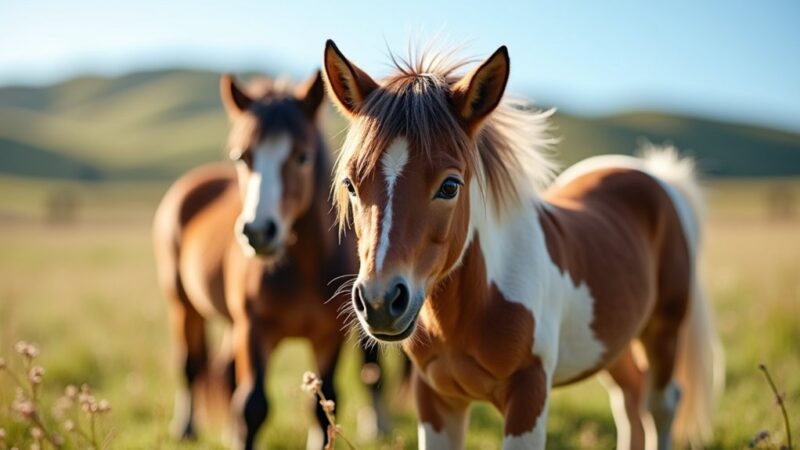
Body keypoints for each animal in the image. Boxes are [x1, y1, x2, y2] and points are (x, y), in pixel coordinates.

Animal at [152, 71, 392, 449]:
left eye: (303, 156)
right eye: (241, 157)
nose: (258, 231)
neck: (304, 267)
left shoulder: (329, 336)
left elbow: (322, 407)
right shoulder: (255, 330)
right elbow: (252, 406)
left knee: (223, 371)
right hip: (183, 305)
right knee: (190, 365)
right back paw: (187, 427)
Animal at [321, 40, 724, 450]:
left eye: (450, 186)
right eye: (351, 184)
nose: (380, 302)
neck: (476, 304)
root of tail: (658, 177)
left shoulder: (529, 395)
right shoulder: (435, 399)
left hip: (664, 331)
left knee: (661, 405)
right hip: (613, 343)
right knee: (630, 399)